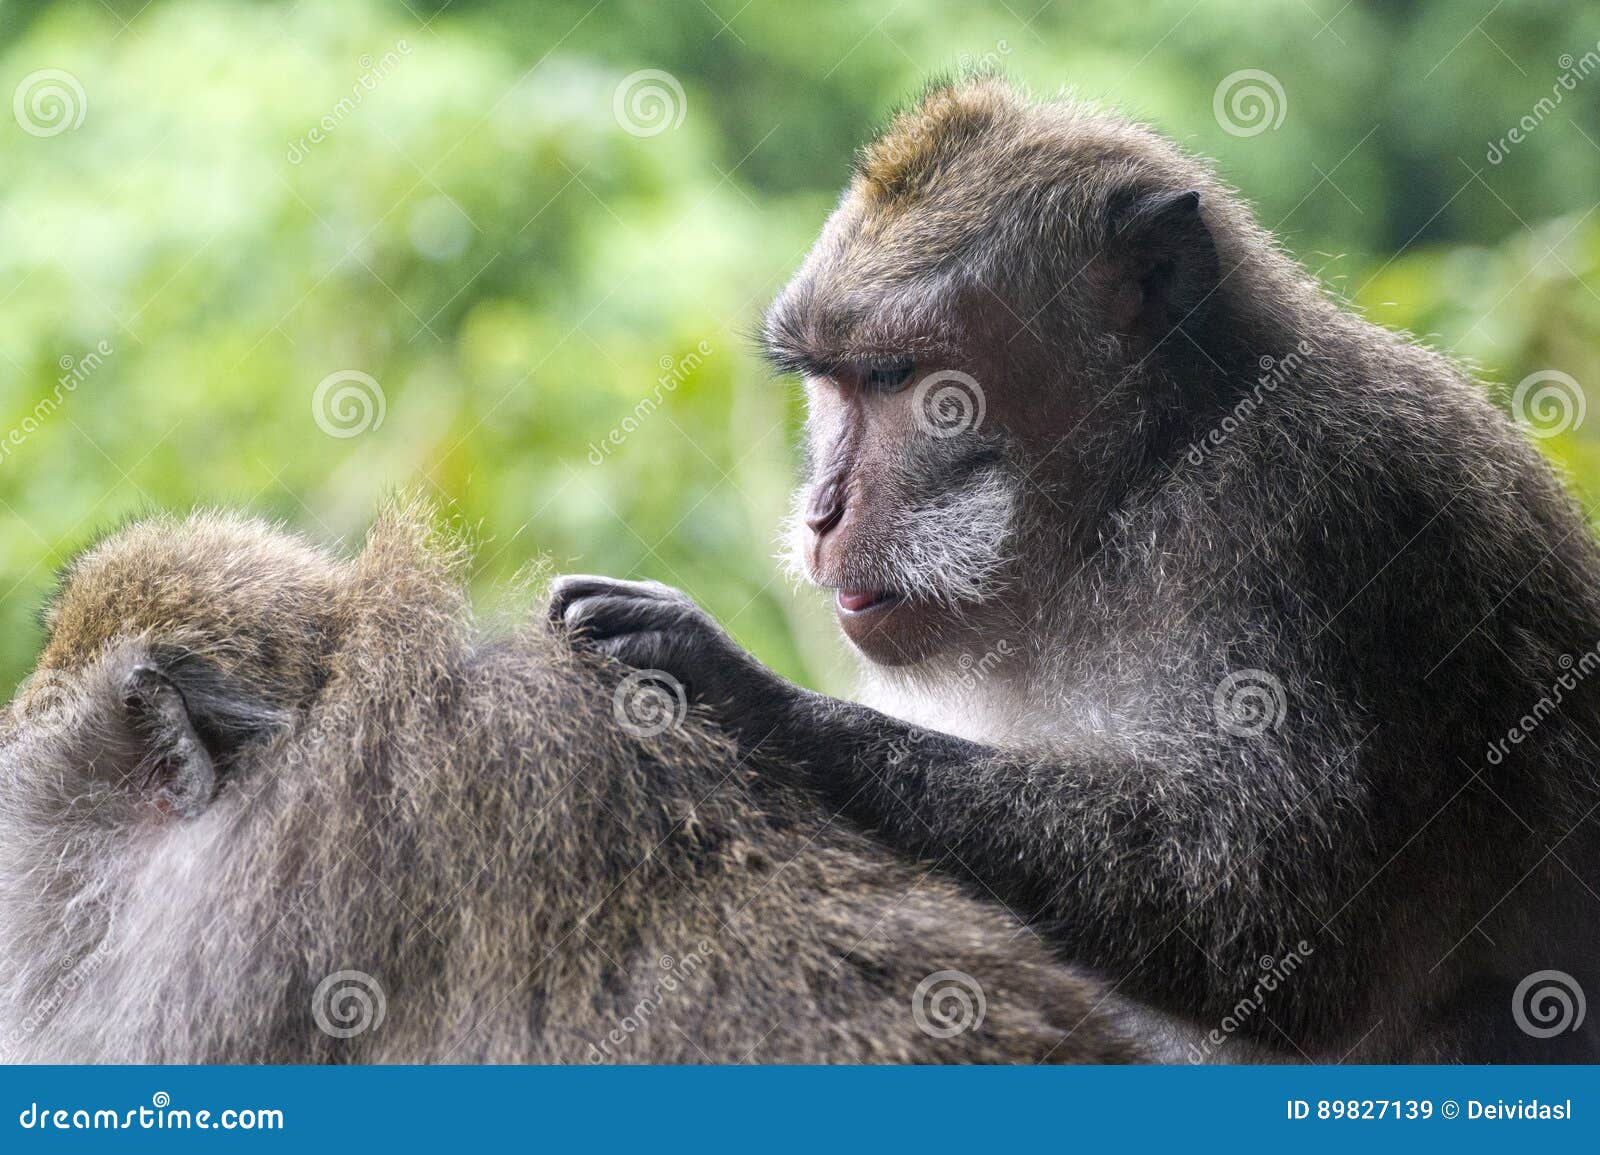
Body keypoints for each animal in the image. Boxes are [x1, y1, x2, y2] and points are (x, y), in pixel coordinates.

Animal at [550, 76, 1600, 1063]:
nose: (821, 514)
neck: (1144, 480)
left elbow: (1285, 917)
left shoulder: (1318, 523)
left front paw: (751, 693)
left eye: (895, 378)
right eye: (829, 380)